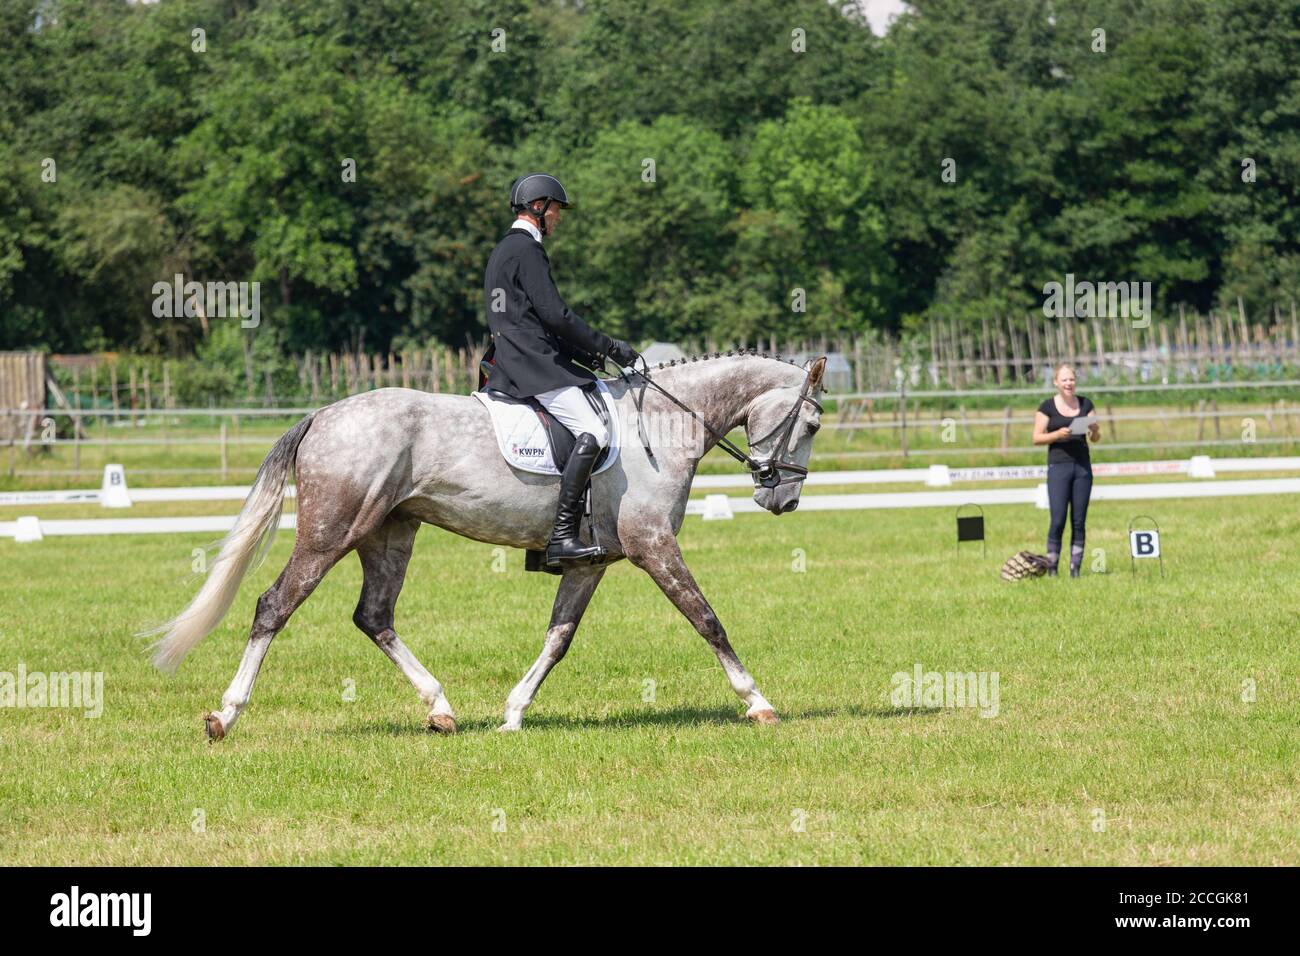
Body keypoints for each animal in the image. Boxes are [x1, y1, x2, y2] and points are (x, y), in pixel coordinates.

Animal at [146, 351, 827, 737]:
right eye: (815, 423)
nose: (784, 501)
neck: (660, 427)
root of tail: (323, 415)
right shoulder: (653, 545)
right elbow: (707, 620)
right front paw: (758, 703)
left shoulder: (593, 563)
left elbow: (558, 639)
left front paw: (513, 713)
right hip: (331, 531)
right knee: (274, 606)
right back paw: (224, 716)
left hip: (390, 532)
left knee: (374, 615)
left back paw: (440, 708)